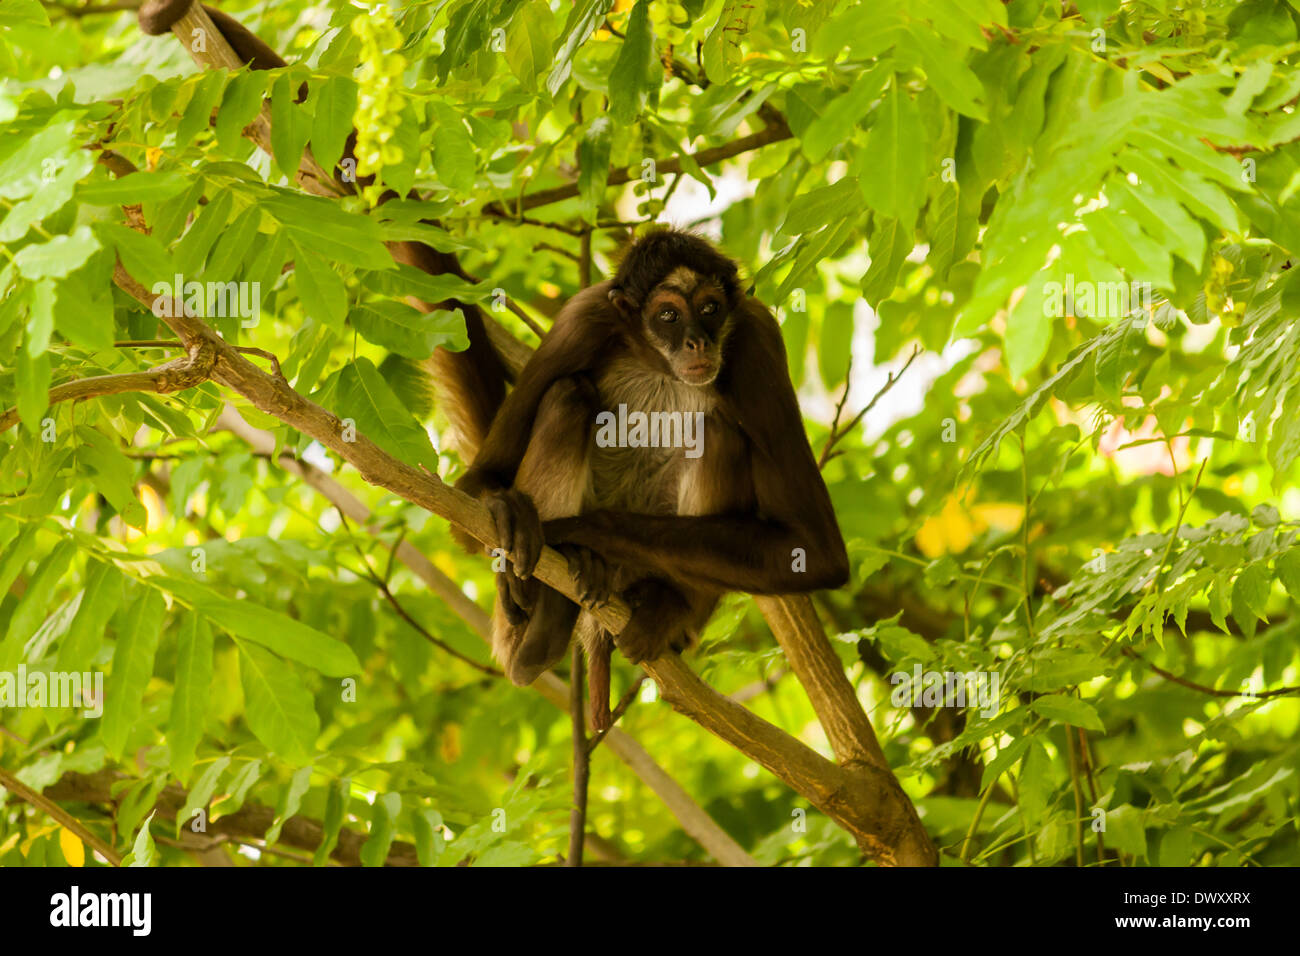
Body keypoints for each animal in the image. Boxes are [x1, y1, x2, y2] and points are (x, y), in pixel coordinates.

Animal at [441, 229, 849, 727]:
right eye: (668, 315)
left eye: (710, 308)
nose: (697, 342)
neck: (658, 363)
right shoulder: (582, 318)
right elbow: (479, 490)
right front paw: (505, 514)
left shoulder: (757, 336)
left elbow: (814, 552)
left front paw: (583, 531)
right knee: (569, 393)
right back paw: (541, 621)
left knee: (720, 429)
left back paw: (660, 605)